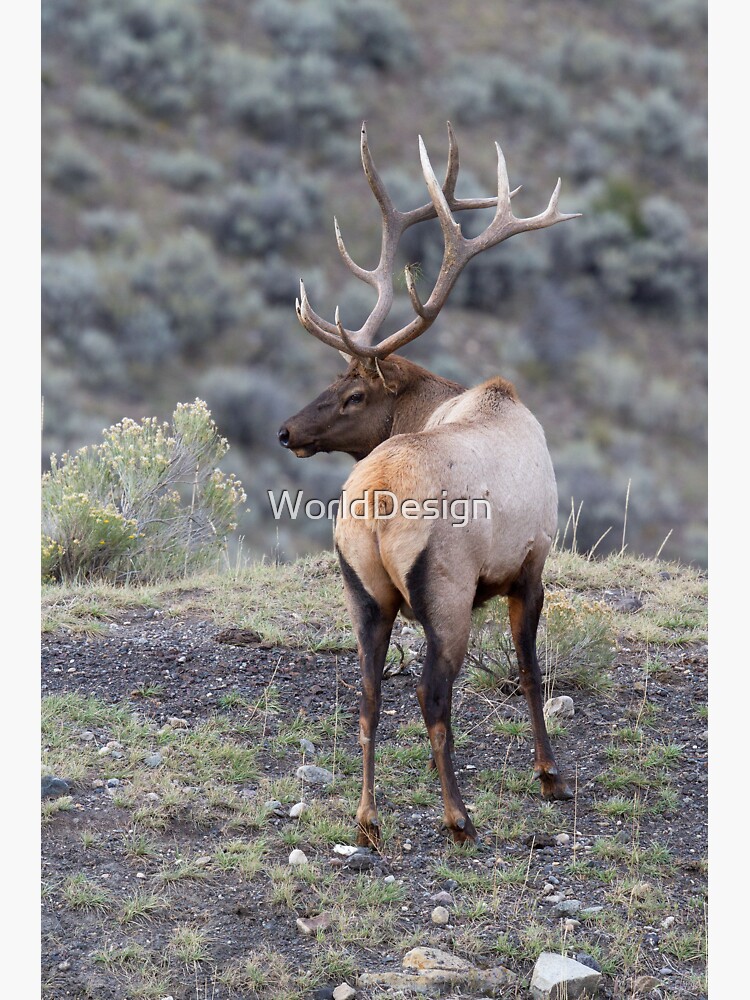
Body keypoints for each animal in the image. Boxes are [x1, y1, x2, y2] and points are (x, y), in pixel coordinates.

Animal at [277, 123, 581, 847]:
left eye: (351, 393)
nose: (286, 430)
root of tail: (375, 501)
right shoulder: (530, 563)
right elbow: (530, 670)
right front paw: (550, 776)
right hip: (445, 590)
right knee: (430, 694)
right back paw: (457, 815)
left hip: (363, 592)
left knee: (367, 697)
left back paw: (367, 818)